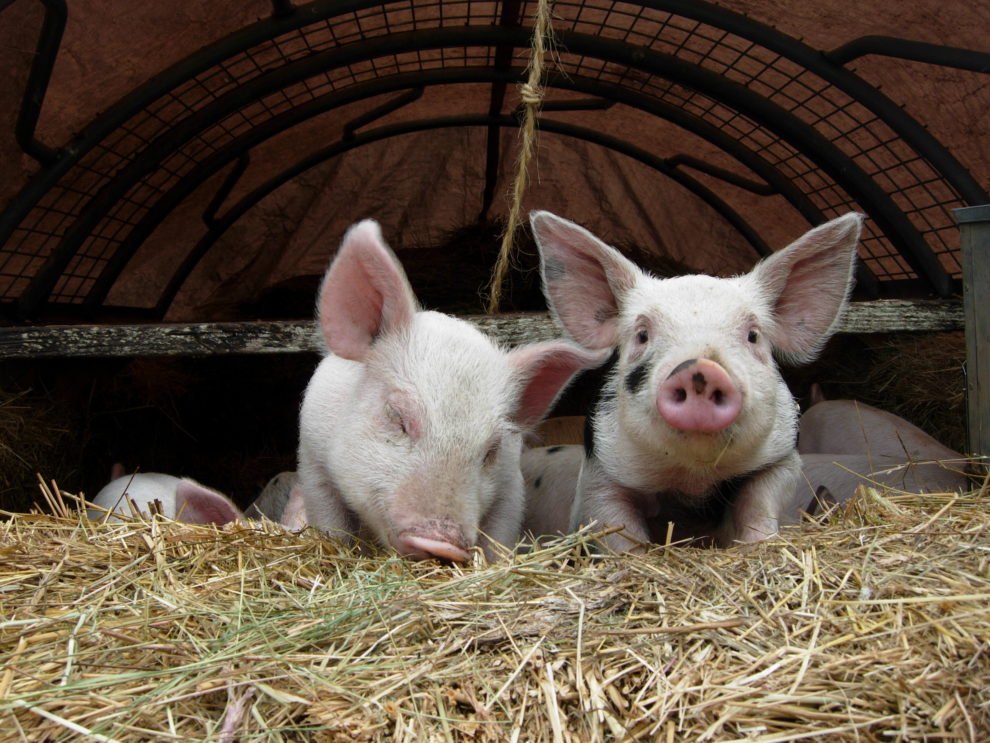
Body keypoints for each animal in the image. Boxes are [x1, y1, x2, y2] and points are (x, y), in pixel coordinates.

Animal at [296, 219, 606, 562]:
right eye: (398, 418)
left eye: (490, 449)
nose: (441, 542)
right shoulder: (312, 460)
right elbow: (331, 525)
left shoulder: (511, 484)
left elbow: (499, 537)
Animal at [529, 210, 864, 551]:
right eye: (642, 335)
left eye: (753, 335)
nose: (701, 368)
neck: (694, 480)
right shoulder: (602, 470)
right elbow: (621, 531)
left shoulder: (781, 456)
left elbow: (759, 507)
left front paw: (759, 547)